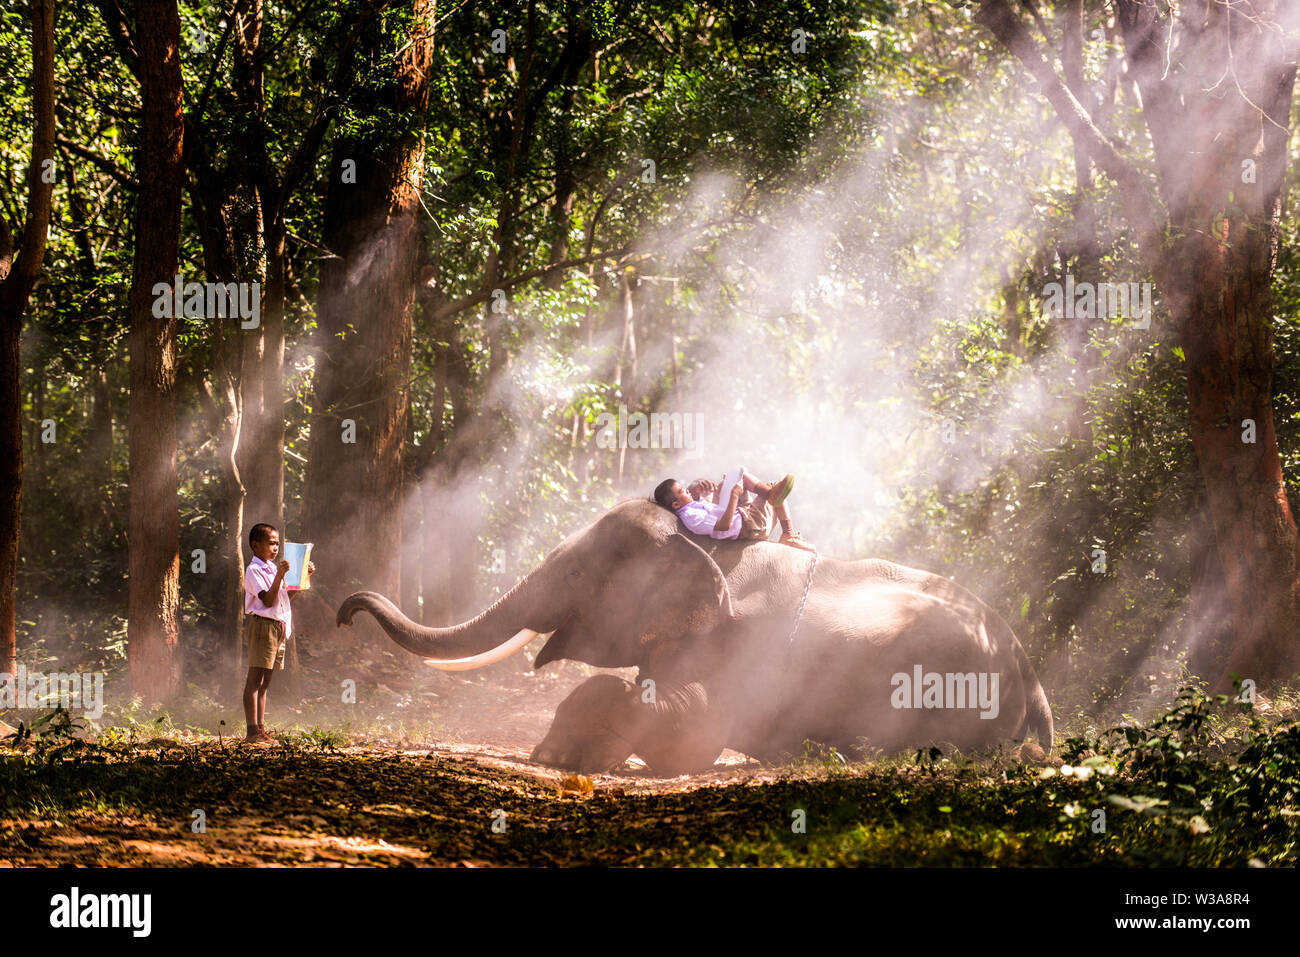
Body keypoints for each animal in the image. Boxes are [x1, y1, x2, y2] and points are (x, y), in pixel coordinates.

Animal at [335, 498, 1054, 774]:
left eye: (579, 573)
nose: (345, 611)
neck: (705, 545)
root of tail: (1030, 671)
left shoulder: (742, 649)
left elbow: (694, 730)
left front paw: (557, 754)